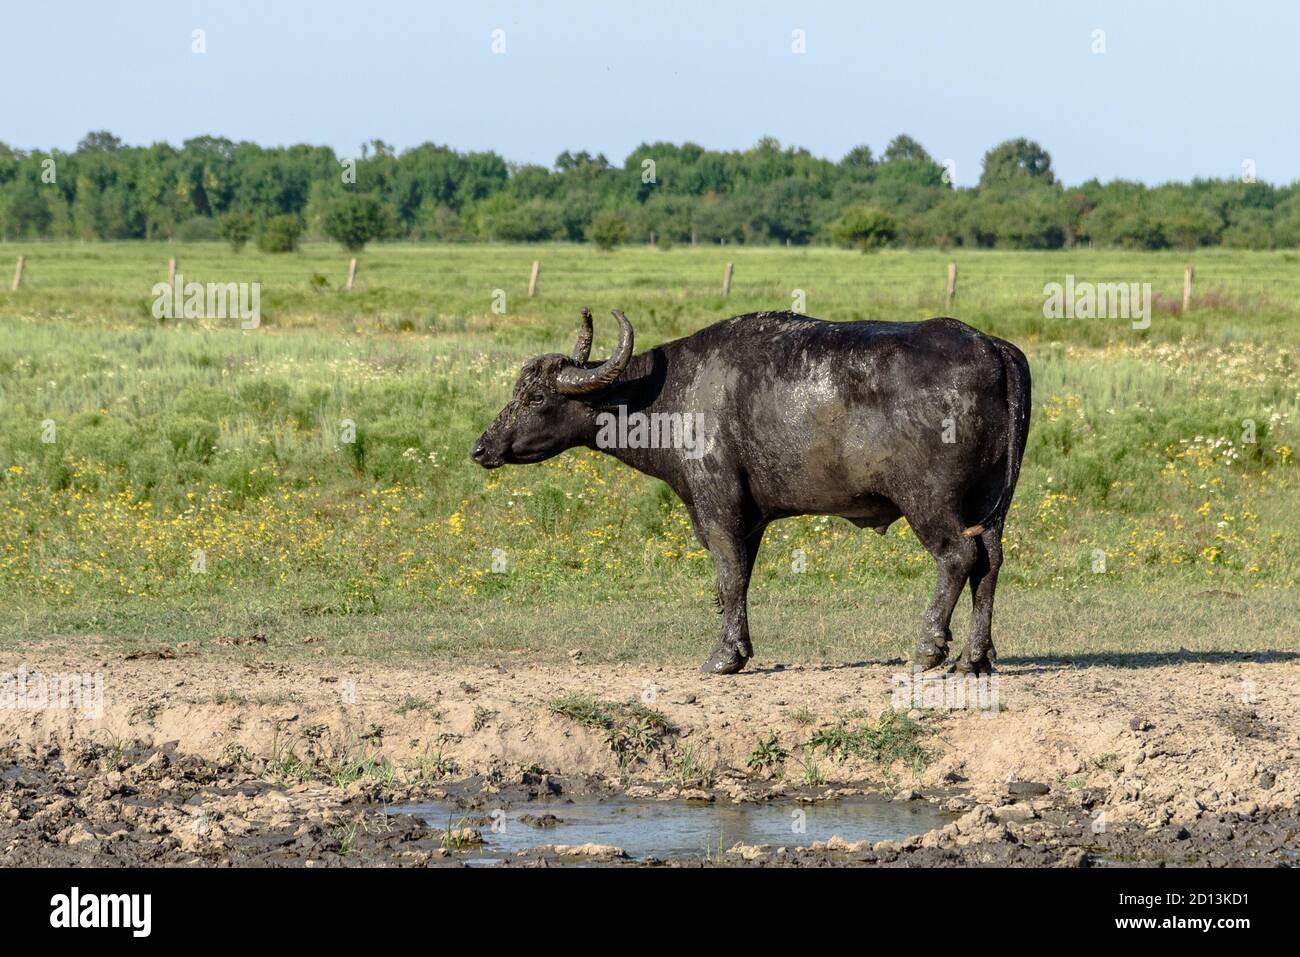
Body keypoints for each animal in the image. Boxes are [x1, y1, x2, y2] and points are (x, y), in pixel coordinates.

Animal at [471, 308, 1030, 676]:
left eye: (536, 398)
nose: (481, 448)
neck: (668, 395)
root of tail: (991, 347)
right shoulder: (752, 520)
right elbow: (741, 580)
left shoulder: (717, 511)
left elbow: (728, 579)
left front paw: (724, 657)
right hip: (989, 504)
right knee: (990, 559)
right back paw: (976, 658)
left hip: (929, 501)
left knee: (958, 556)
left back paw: (929, 648)